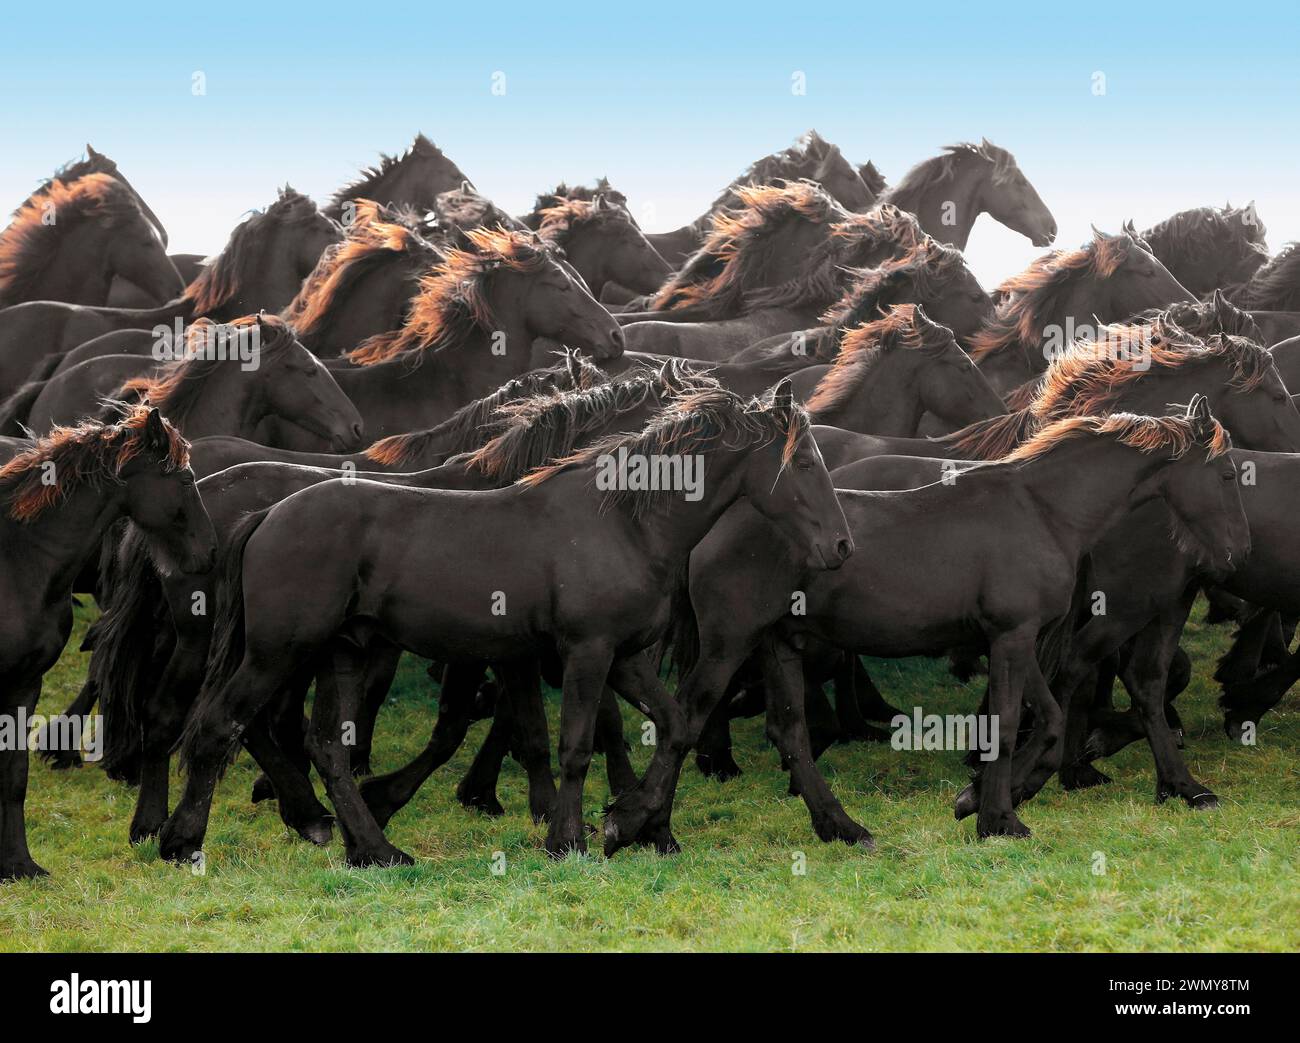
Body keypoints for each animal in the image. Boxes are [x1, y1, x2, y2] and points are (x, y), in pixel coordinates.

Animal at [0, 406, 215, 880]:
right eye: (185, 479)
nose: (209, 551)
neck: (22, 564)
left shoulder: (25, 685)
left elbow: (14, 777)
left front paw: (19, 865)